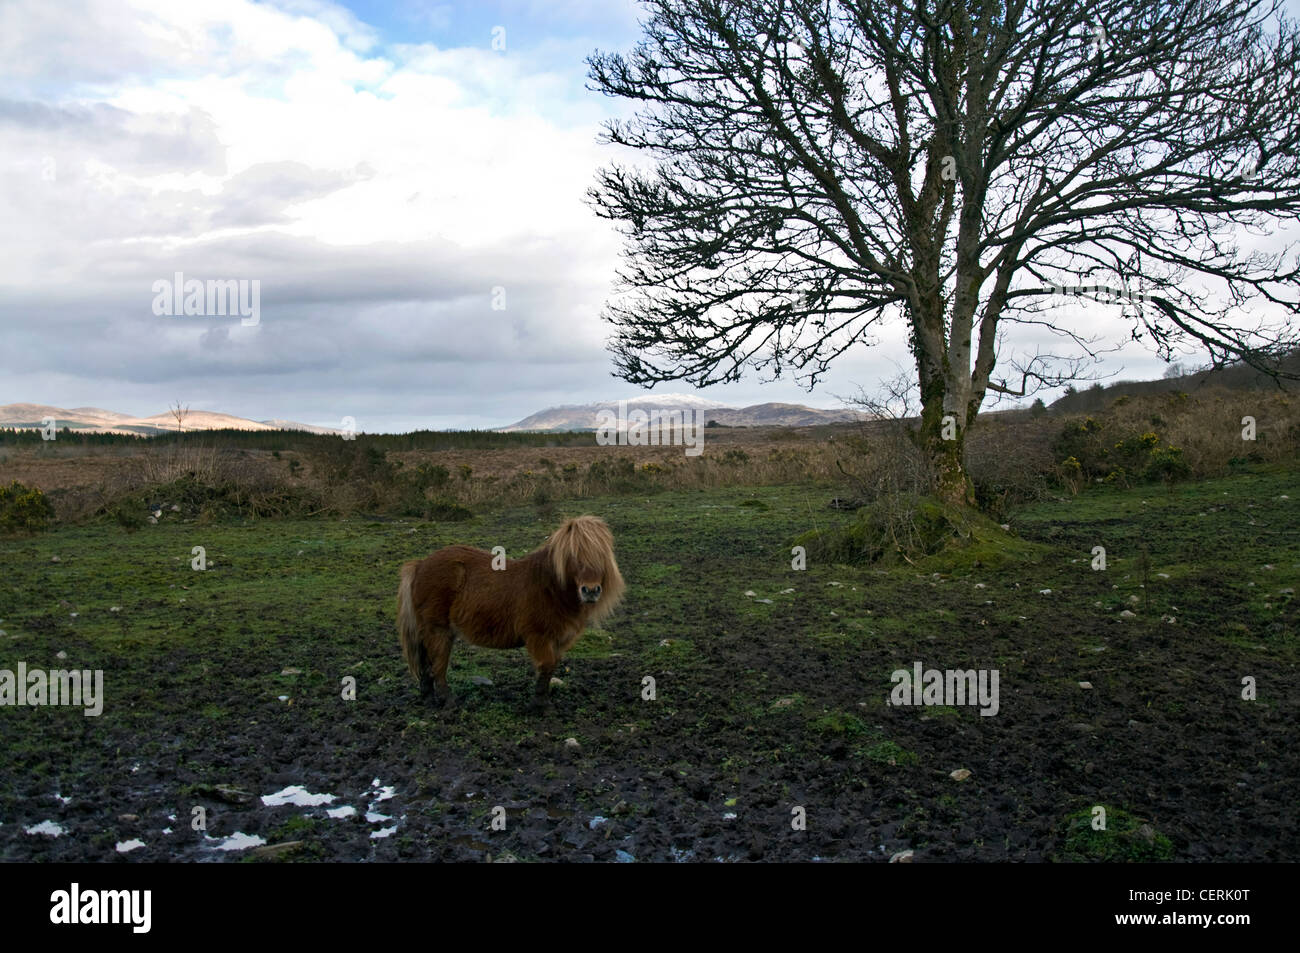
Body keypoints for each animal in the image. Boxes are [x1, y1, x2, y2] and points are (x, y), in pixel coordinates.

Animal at [396, 515, 624, 711]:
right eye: (574, 555)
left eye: (602, 556)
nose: (591, 591)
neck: (549, 588)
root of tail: (420, 565)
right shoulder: (538, 637)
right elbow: (546, 665)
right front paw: (540, 706)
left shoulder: (559, 641)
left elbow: (551, 668)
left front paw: (543, 702)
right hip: (439, 631)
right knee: (437, 666)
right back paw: (448, 701)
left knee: (425, 663)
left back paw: (428, 698)